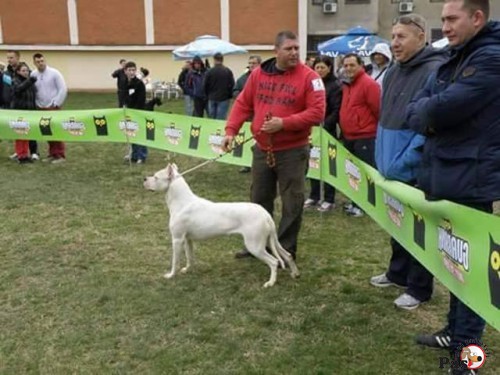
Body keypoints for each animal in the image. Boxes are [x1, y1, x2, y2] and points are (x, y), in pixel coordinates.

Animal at [143, 163, 298, 290]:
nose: (144, 179)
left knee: (274, 262)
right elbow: (189, 257)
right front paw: (187, 269)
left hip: (255, 245)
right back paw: (295, 274)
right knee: (287, 255)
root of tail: (265, 214)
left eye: (156, 177)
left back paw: (270, 283)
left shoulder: (177, 239)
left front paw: (171, 275)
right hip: (271, 241)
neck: (182, 202)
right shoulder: (187, 239)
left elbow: (175, 261)